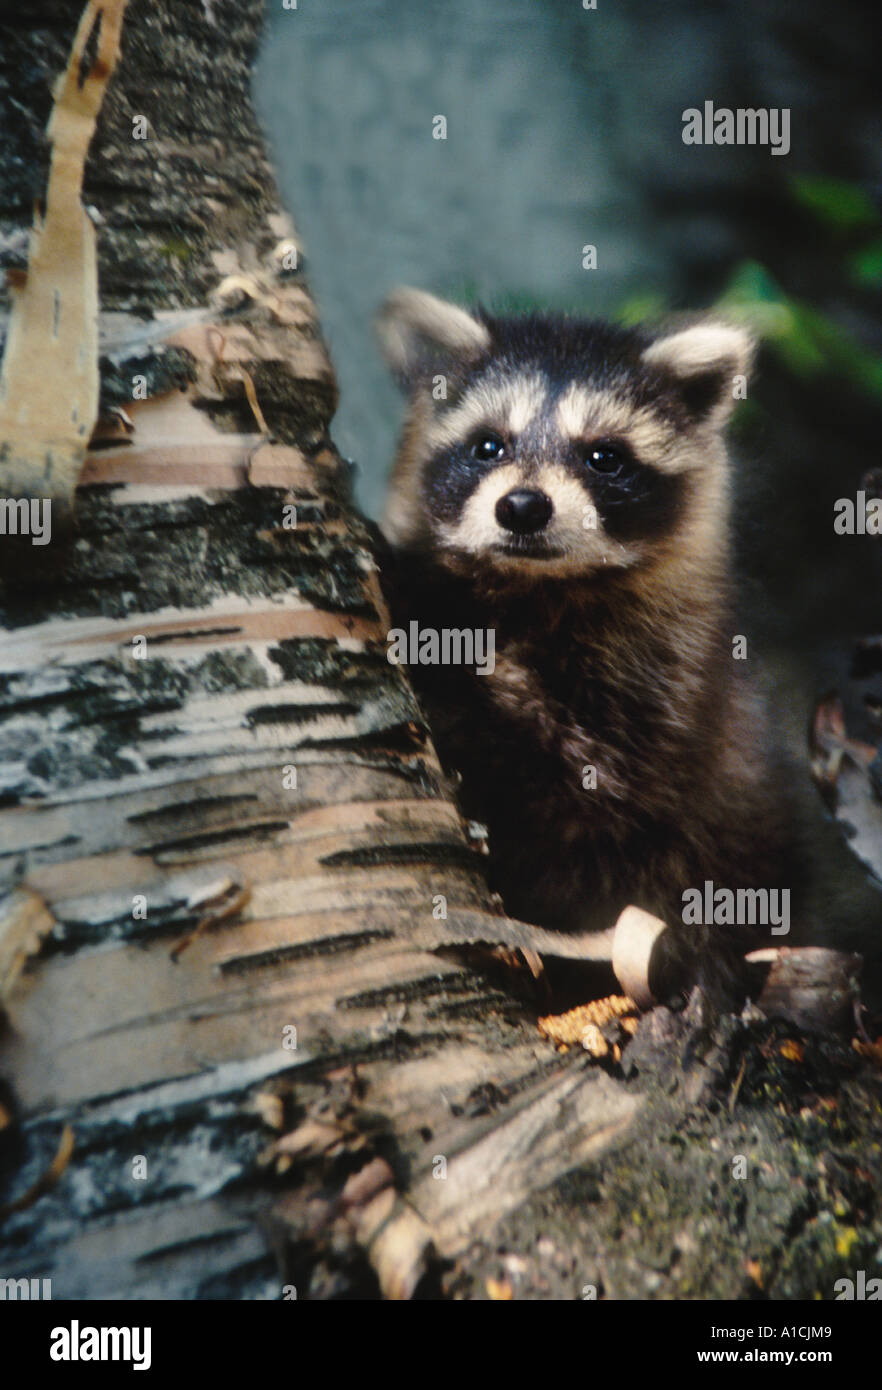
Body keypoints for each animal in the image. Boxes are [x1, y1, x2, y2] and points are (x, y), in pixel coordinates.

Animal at [376, 288, 796, 1003]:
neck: (535, 584)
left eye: (604, 456)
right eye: (488, 445)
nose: (522, 506)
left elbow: (577, 776)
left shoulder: (656, 680)